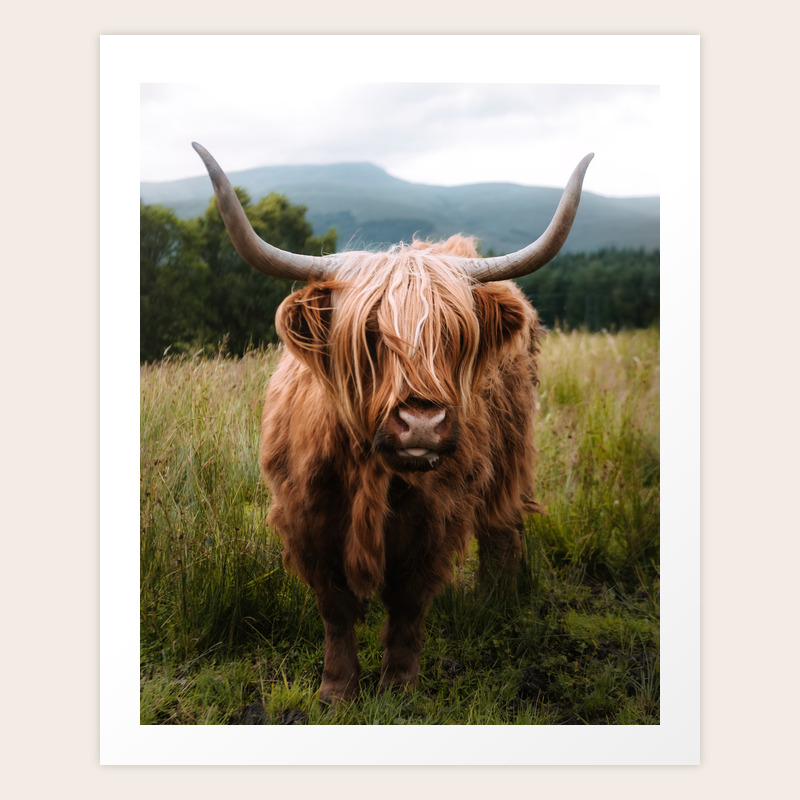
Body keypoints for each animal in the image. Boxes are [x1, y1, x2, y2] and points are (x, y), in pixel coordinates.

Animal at [192, 142, 593, 702]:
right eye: (370, 335)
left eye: (453, 337)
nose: (421, 423)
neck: (369, 472)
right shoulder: (306, 520)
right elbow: (335, 608)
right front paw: (337, 689)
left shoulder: (435, 521)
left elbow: (407, 604)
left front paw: (399, 686)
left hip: (511, 456)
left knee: (502, 529)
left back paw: (497, 604)